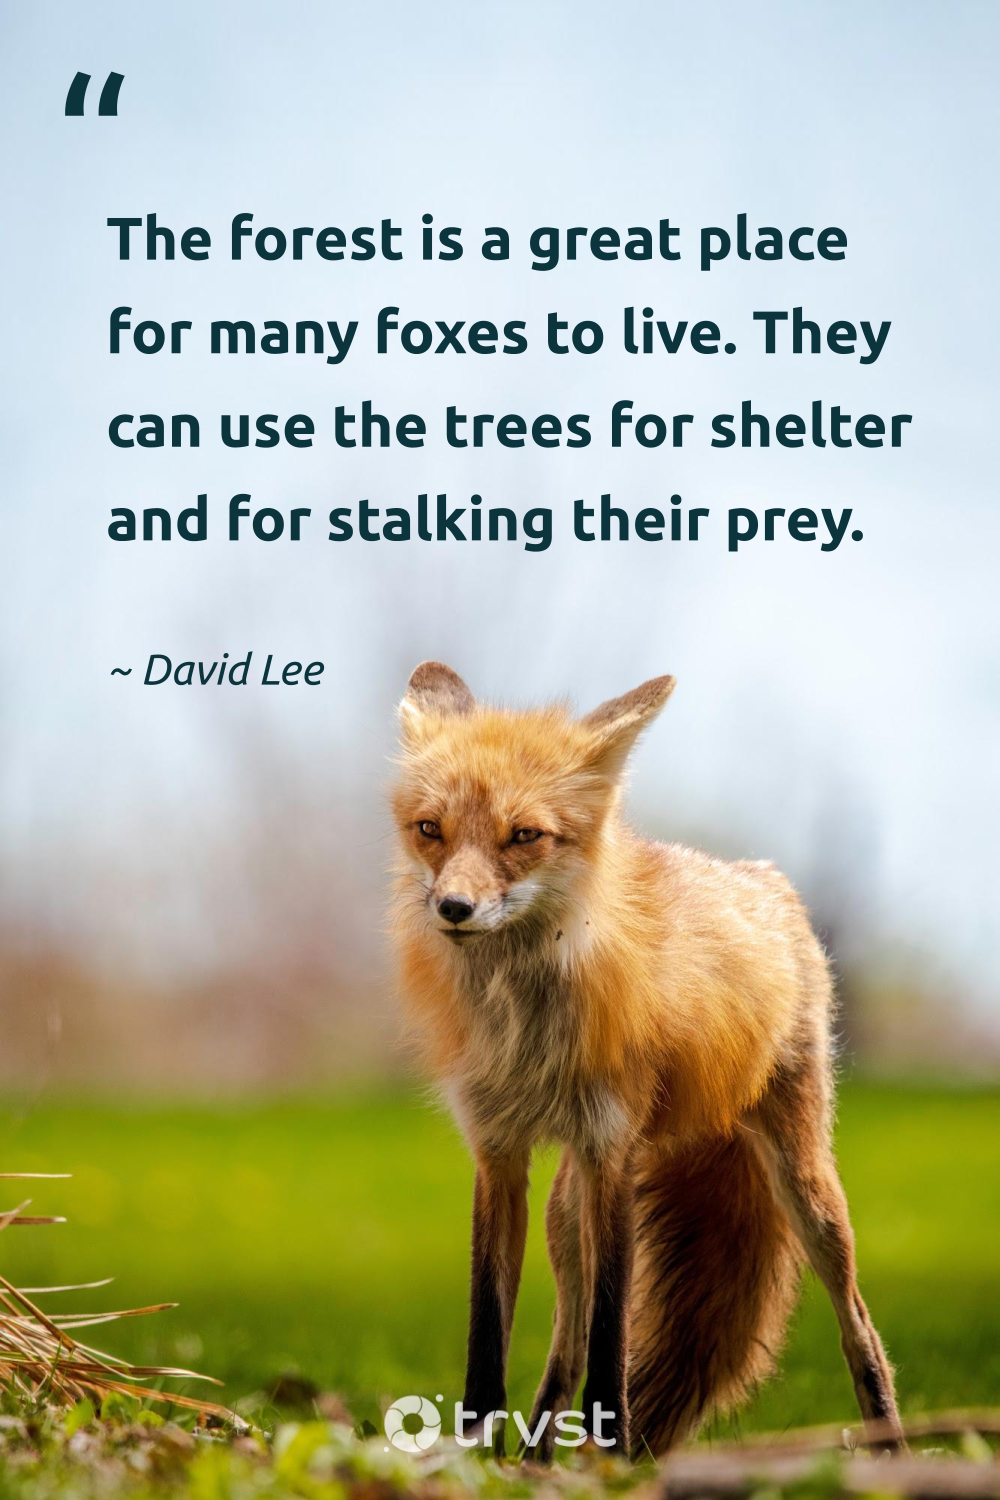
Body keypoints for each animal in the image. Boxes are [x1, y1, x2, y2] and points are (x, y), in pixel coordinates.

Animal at [389, 661, 904, 1459]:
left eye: (524, 835)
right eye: (429, 830)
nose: (453, 908)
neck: (528, 1030)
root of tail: (764, 877)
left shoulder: (612, 1155)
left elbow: (611, 1338)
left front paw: (612, 1460)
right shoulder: (498, 1154)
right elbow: (489, 1335)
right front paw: (474, 1456)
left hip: (806, 1189)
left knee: (863, 1332)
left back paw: (895, 1449)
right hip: (564, 1217)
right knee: (562, 1349)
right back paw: (537, 1461)